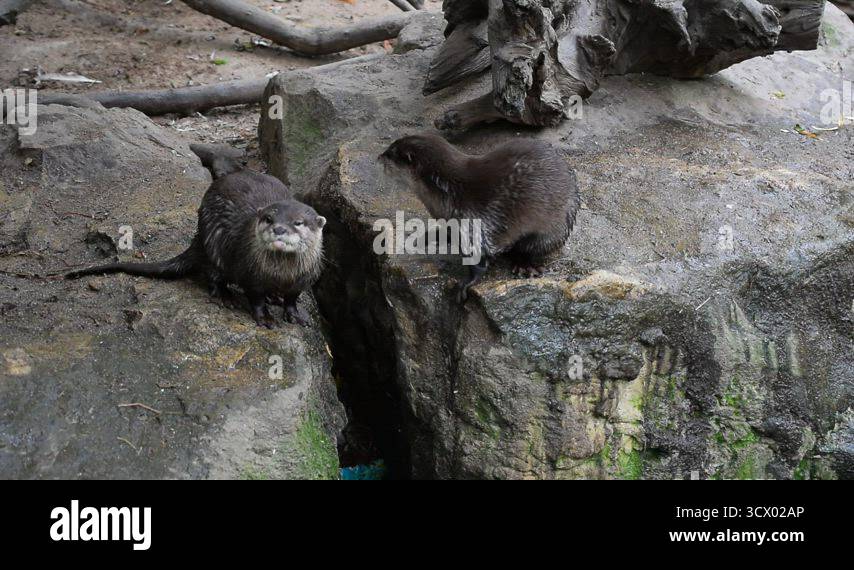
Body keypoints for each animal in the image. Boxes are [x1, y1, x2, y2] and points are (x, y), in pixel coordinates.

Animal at [67, 169, 326, 328]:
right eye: (269, 218)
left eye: (298, 222)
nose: (279, 229)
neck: (281, 274)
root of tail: (199, 237)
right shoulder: (250, 273)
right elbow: (255, 297)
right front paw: (265, 318)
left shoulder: (304, 278)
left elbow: (293, 298)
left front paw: (295, 315)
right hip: (214, 244)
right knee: (212, 275)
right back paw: (226, 296)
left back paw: (274, 296)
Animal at [379, 133, 580, 302]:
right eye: (392, 146)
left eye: (392, 153)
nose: (380, 156)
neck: (450, 192)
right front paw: (428, 237)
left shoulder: (474, 221)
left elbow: (479, 257)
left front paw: (466, 284)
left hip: (557, 225)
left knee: (534, 246)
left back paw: (525, 265)